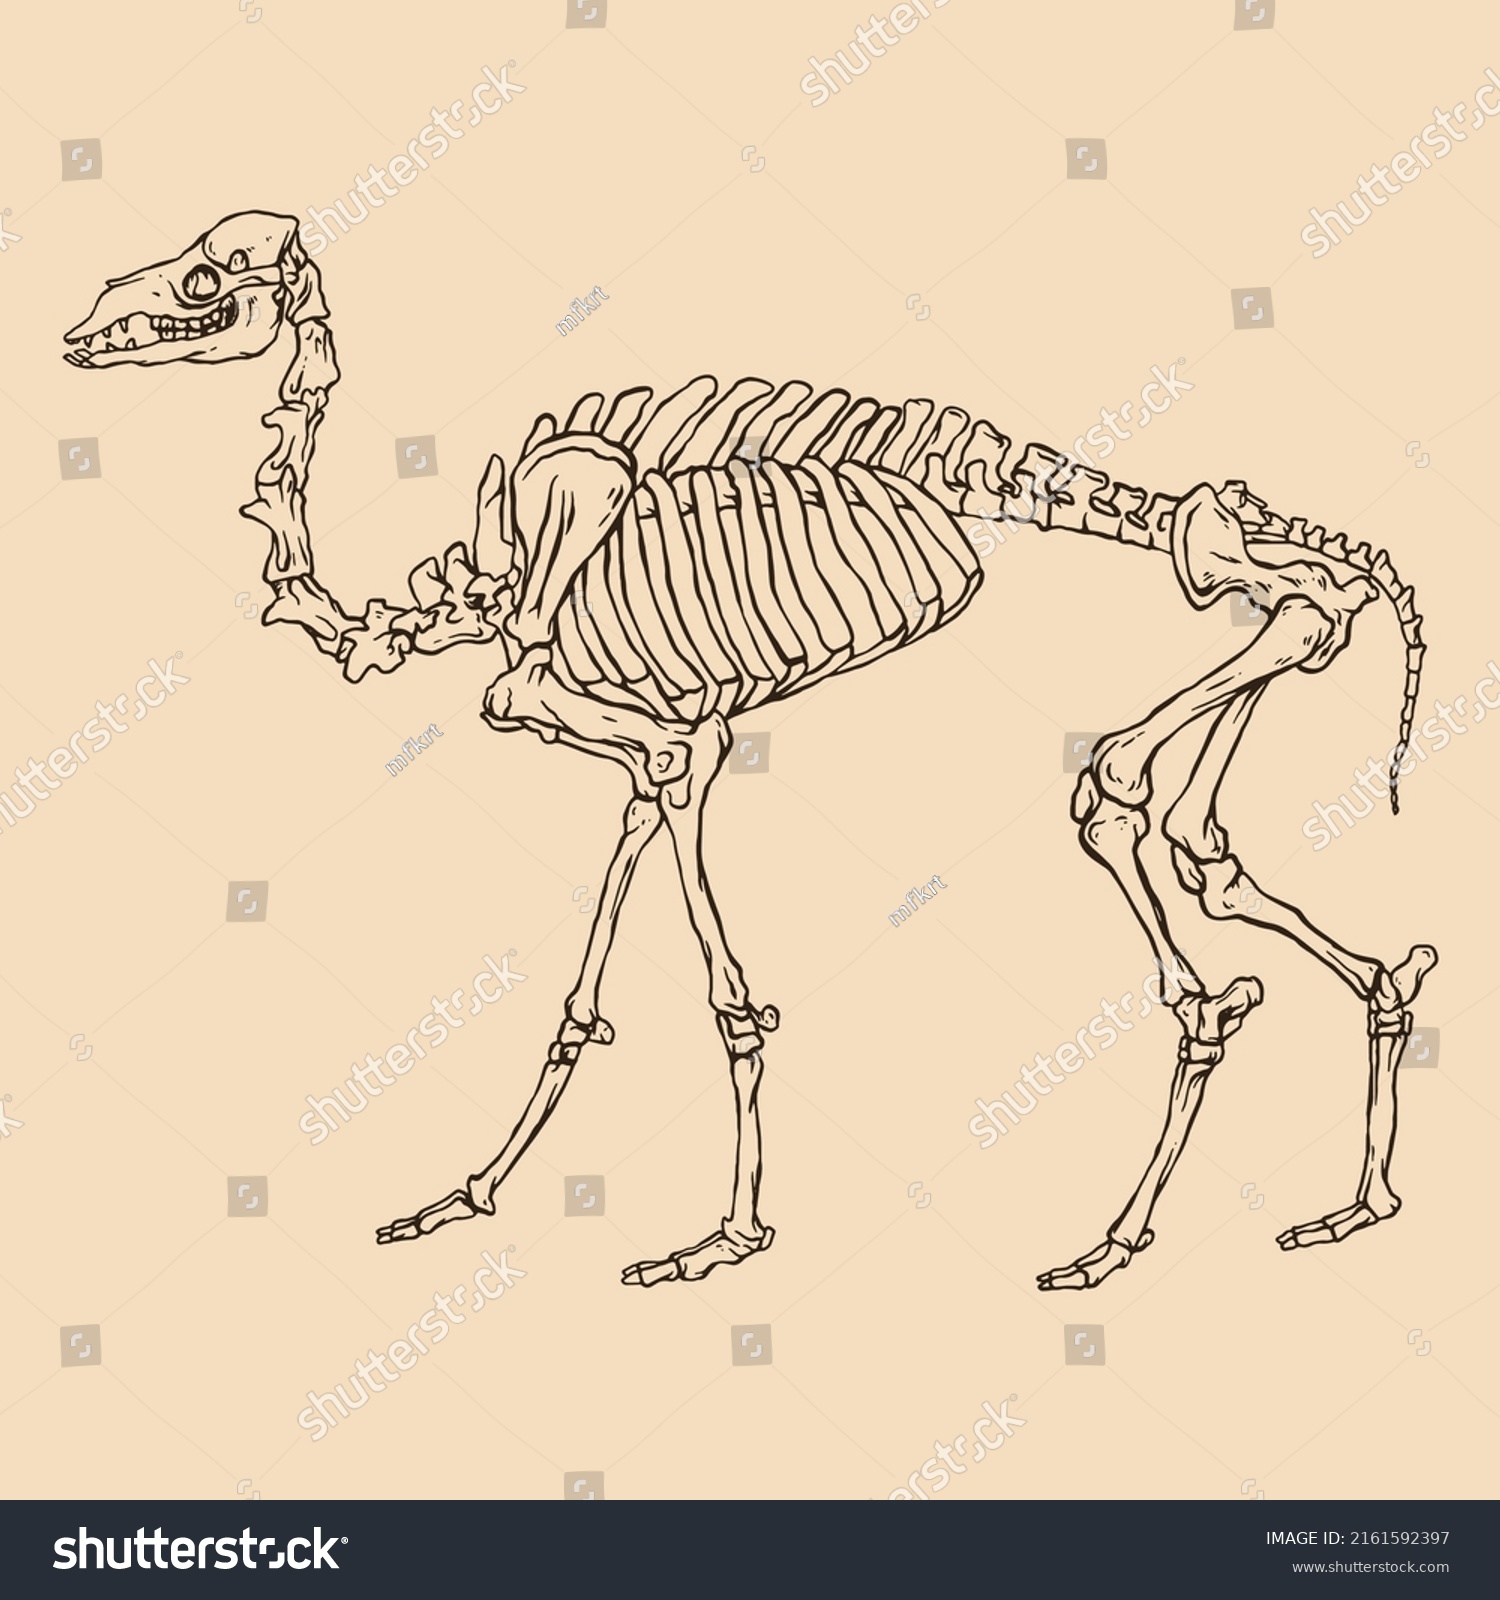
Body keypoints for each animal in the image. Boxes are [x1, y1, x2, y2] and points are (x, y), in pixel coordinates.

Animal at [62, 211, 1437, 1291]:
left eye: (204, 282)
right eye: (156, 261)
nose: (76, 335)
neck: (468, 586)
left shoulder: (647, 716)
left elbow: (714, 975)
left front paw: (718, 1241)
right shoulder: (652, 739)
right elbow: (582, 992)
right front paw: (467, 1191)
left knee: (1139, 811)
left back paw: (1114, 1235)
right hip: (1225, 607)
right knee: (1251, 713)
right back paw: (1358, 1182)